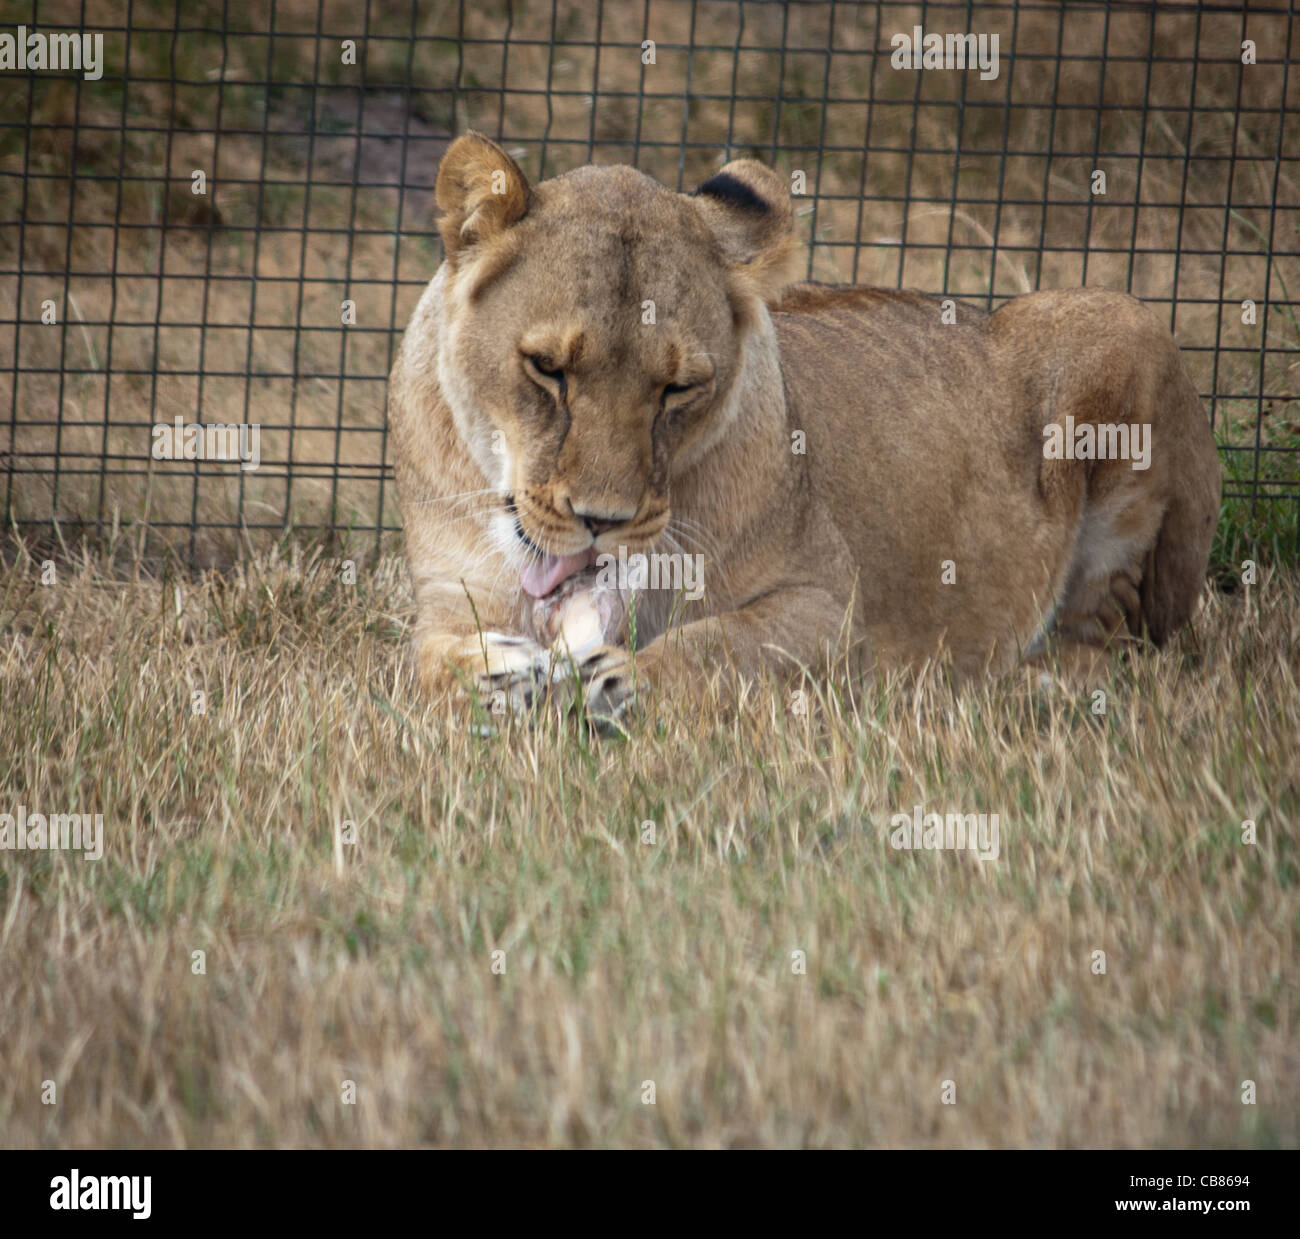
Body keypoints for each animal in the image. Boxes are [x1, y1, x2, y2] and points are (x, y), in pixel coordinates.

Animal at [388, 132, 1221, 724]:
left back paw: (1020, 686)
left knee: (1111, 641)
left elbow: (727, 643)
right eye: (546, 369)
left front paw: (632, 677)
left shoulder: (835, 612)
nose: (603, 522)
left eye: (678, 388)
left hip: (1121, 324)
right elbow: (421, 656)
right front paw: (493, 673)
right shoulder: (448, 591)